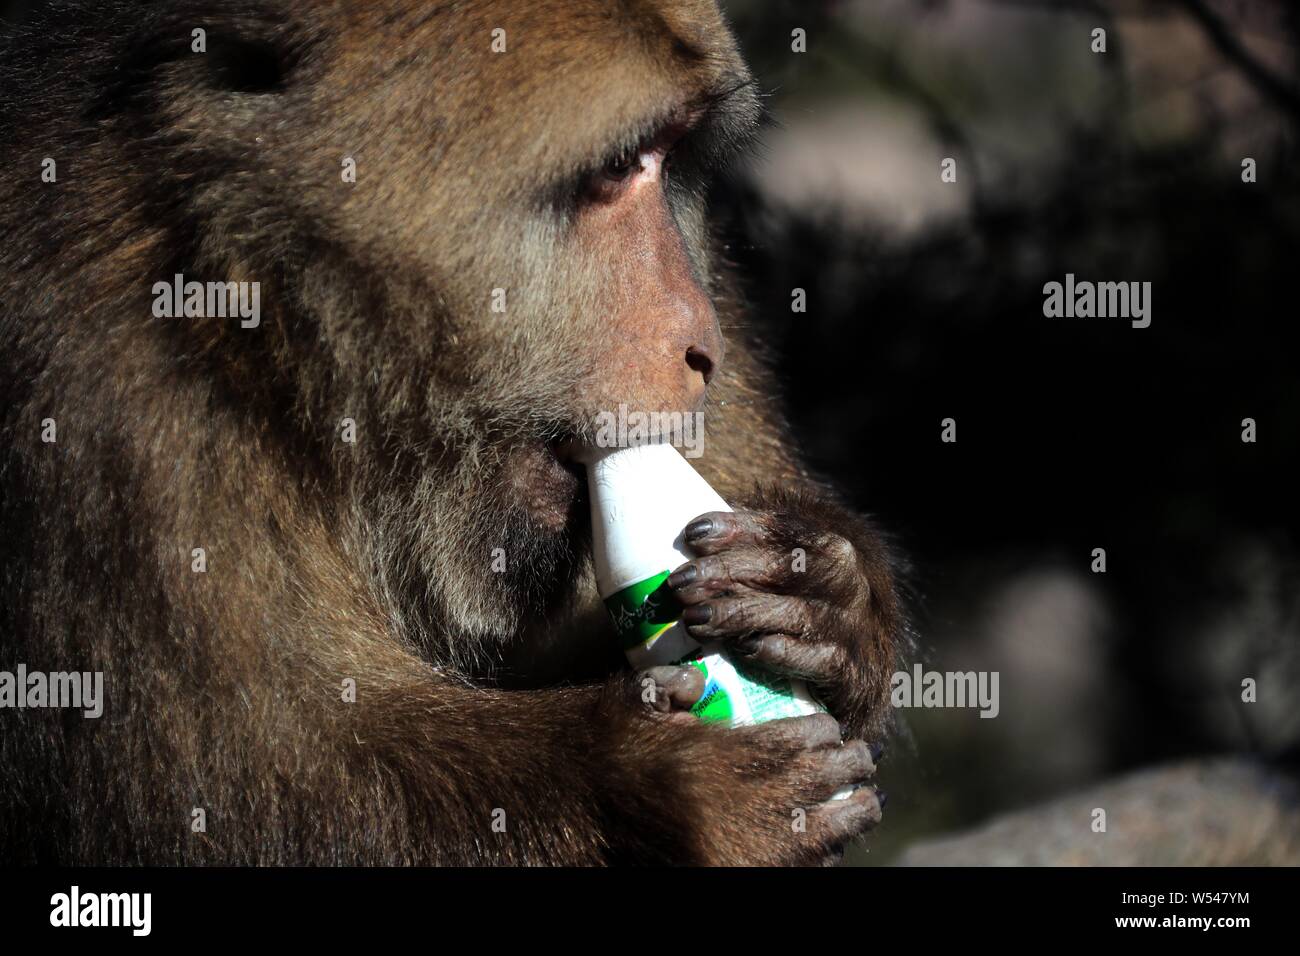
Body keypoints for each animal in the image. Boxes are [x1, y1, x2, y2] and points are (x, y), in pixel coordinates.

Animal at [0, 0, 906, 865]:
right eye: (617, 166)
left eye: (674, 156)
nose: (703, 346)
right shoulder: (91, 401)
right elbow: (213, 800)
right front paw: (652, 784)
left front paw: (823, 592)